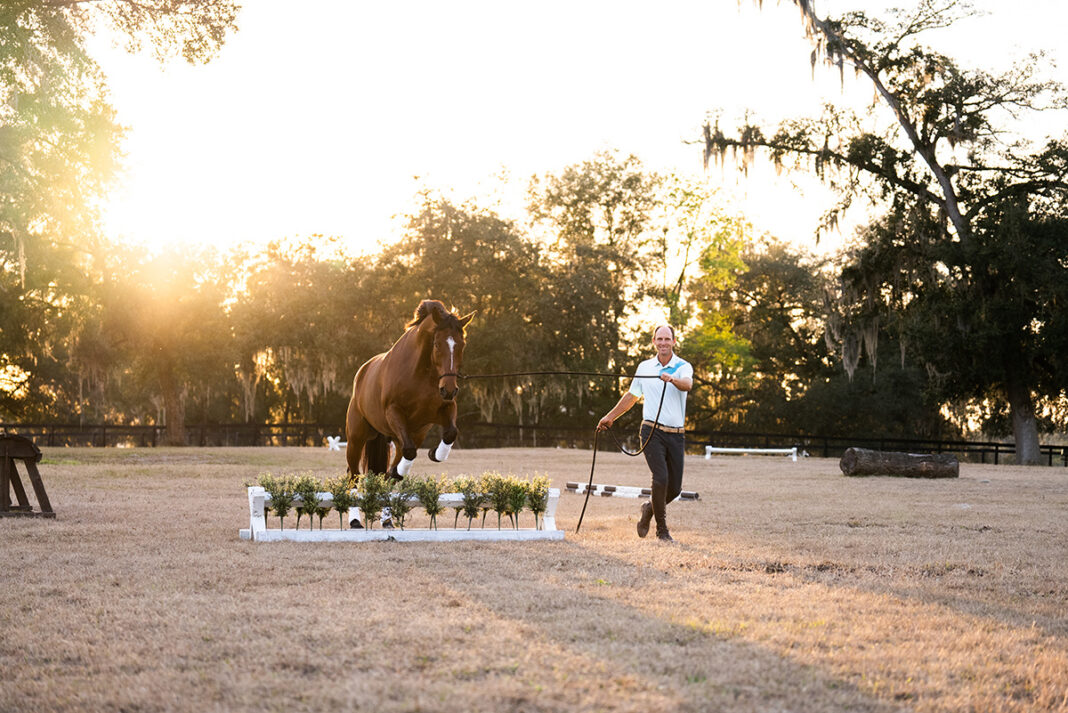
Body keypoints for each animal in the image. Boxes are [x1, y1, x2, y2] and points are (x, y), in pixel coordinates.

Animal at [345, 299, 474, 486]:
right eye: (437, 344)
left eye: (462, 345)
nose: (449, 389)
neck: (419, 374)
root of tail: (362, 371)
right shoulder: (393, 412)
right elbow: (410, 451)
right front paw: (398, 470)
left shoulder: (445, 408)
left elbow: (450, 433)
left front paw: (434, 454)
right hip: (356, 438)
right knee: (353, 473)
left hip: (408, 435)